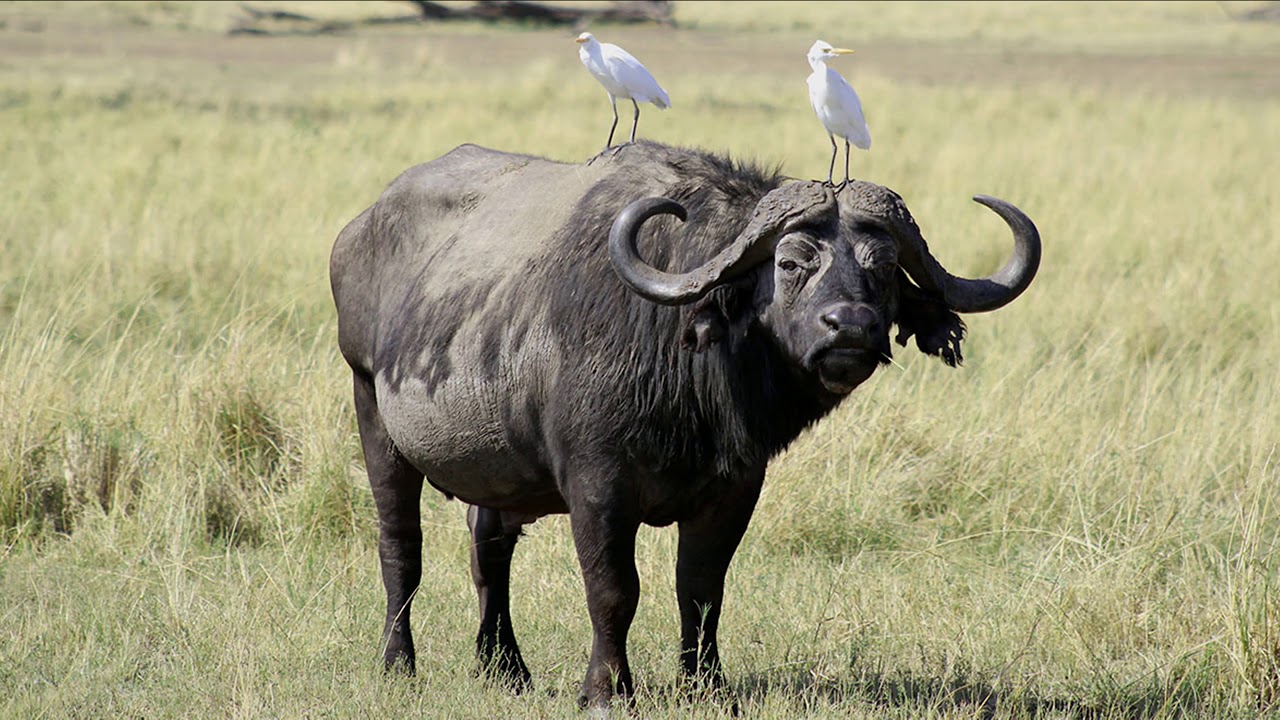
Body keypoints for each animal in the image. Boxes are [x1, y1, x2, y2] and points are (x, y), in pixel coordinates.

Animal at [329, 141, 1041, 709]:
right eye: (790, 263)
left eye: (884, 267)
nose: (851, 328)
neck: (685, 362)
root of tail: (358, 230)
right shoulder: (598, 486)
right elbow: (614, 590)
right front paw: (606, 691)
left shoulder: (734, 489)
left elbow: (700, 590)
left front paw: (706, 687)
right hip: (374, 415)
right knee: (402, 549)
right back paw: (399, 665)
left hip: (499, 473)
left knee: (489, 554)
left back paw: (504, 668)